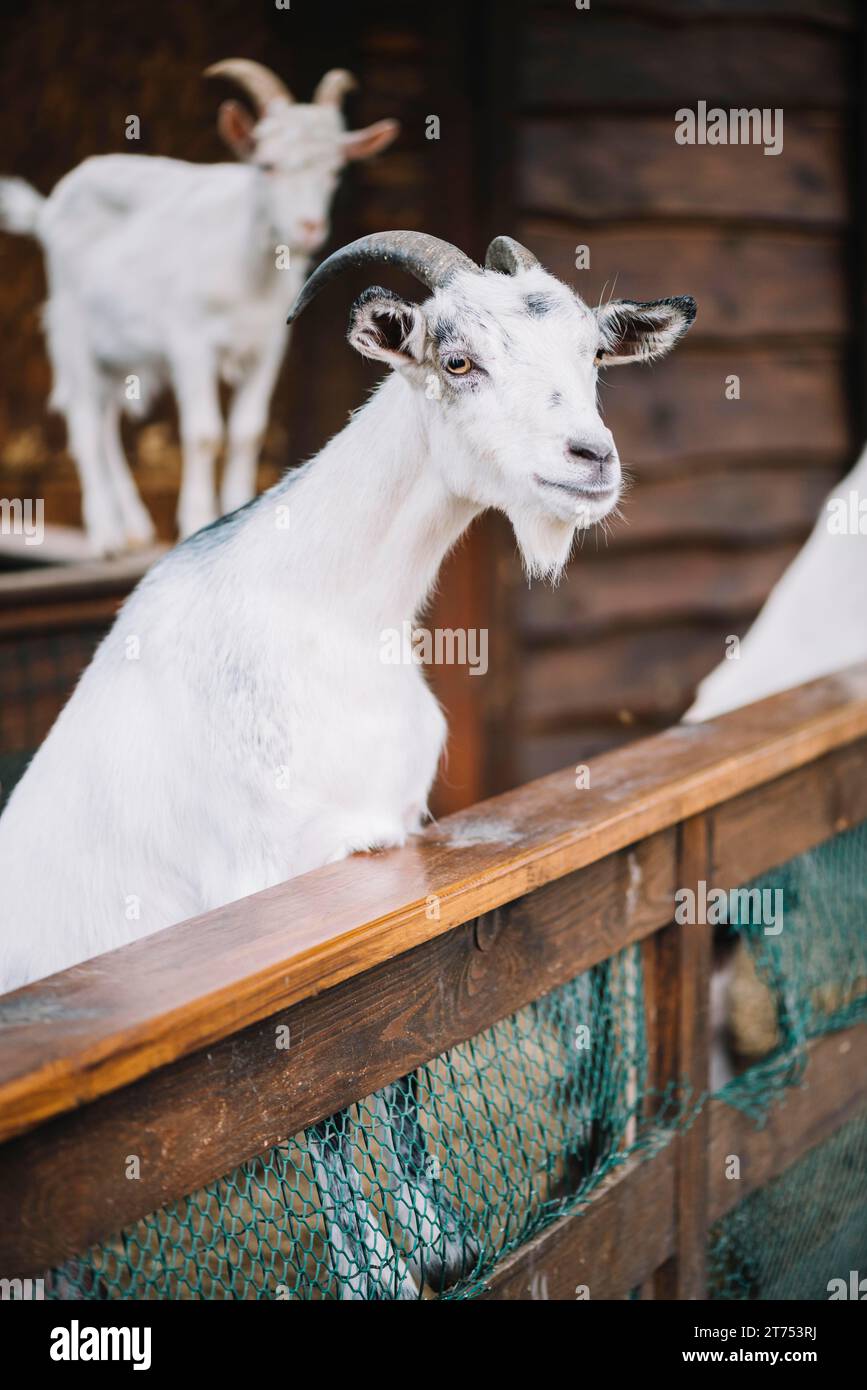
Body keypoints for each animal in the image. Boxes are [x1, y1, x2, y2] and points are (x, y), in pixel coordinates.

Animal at [0, 59, 399, 555]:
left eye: (335, 172)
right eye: (267, 164)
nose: (309, 227)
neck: (250, 269)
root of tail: (48, 209)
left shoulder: (269, 345)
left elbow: (248, 430)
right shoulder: (190, 341)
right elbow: (206, 433)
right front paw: (195, 520)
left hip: (114, 354)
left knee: (106, 421)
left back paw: (133, 527)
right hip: (70, 328)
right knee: (85, 423)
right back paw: (106, 533)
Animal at [0, 230, 695, 1296]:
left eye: (590, 357)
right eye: (458, 360)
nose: (591, 460)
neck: (326, 609)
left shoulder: (389, 848)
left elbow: (393, 1046)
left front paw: (442, 1245)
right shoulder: (265, 888)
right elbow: (317, 1089)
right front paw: (377, 1273)